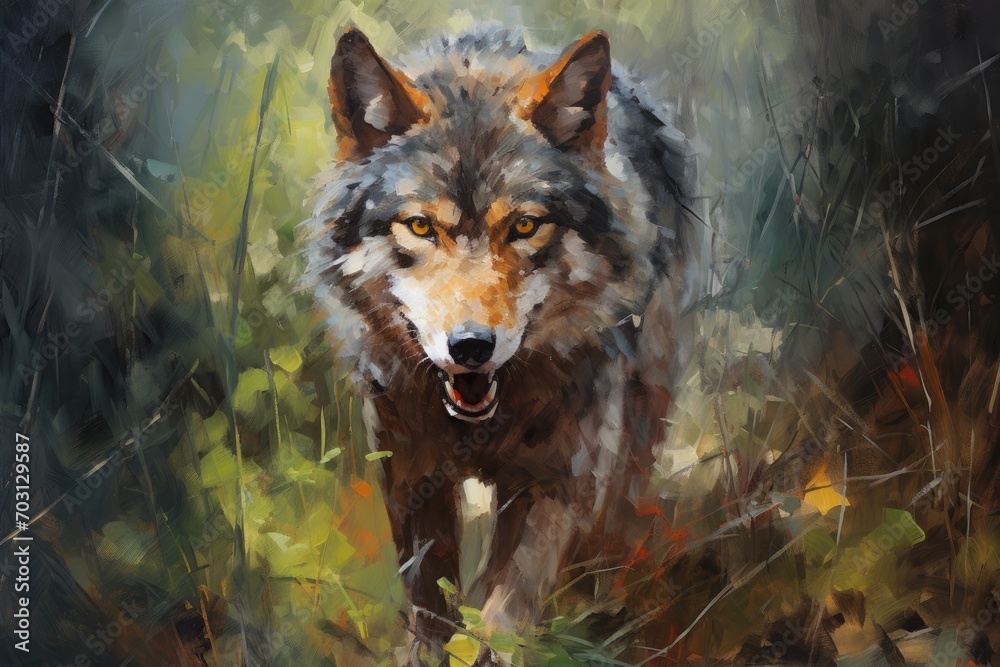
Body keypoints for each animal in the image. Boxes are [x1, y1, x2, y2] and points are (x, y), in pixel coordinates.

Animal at [301, 24, 706, 665]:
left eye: (524, 226)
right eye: (420, 227)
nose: (471, 346)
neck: (481, 426)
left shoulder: (554, 482)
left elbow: (503, 609)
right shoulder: (410, 478)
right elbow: (430, 597)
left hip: (643, 409)